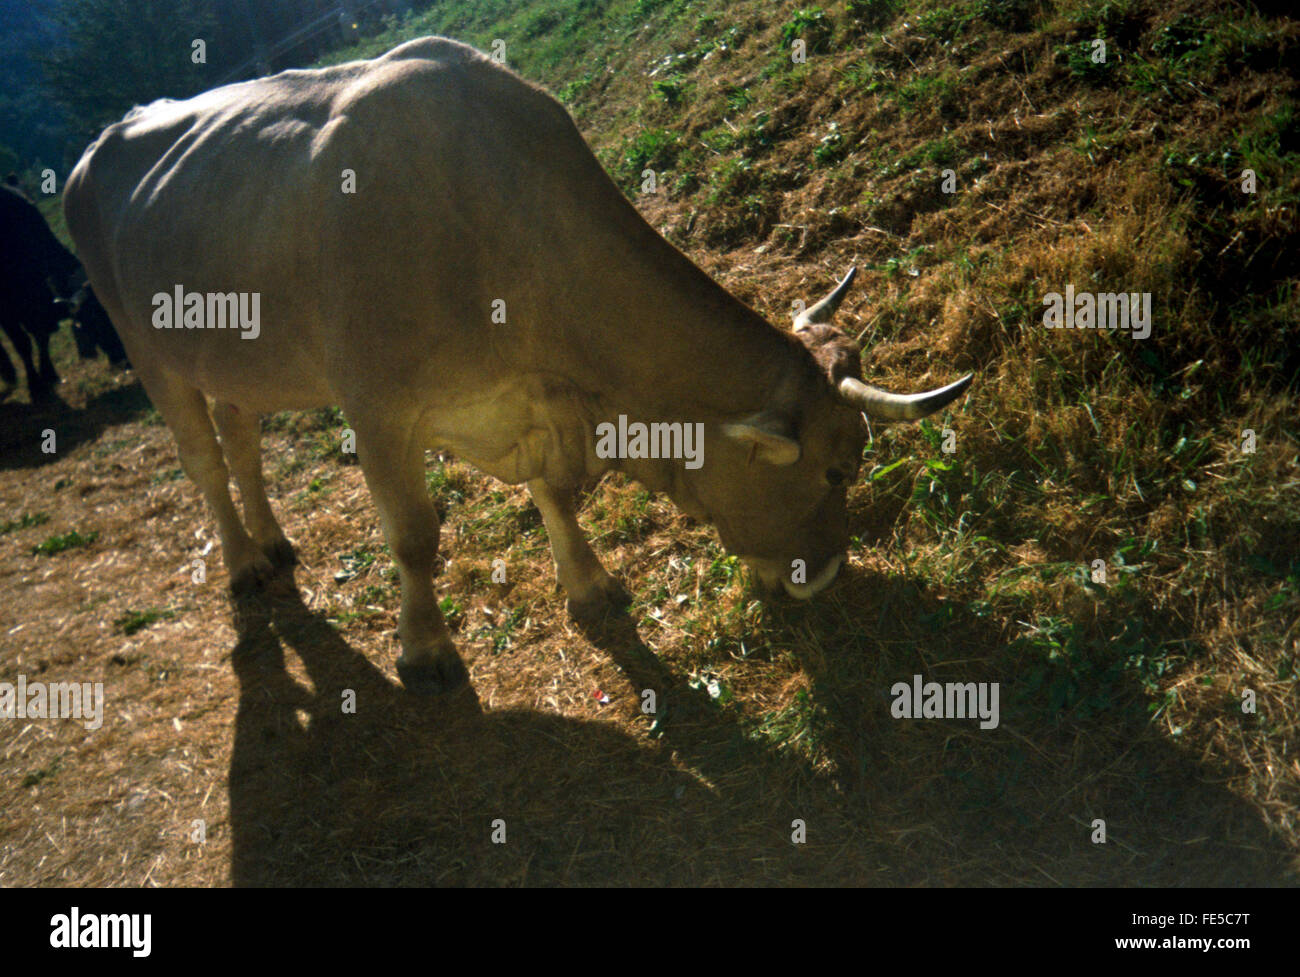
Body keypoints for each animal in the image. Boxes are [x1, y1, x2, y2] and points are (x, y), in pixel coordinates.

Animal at [64, 37, 972, 694]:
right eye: (835, 471)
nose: (826, 578)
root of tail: (95, 148)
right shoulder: (377, 407)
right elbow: (415, 535)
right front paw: (425, 650)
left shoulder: (534, 394)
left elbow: (554, 496)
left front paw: (591, 584)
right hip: (147, 346)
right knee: (202, 460)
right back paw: (246, 562)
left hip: (229, 351)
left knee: (240, 436)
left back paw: (274, 541)